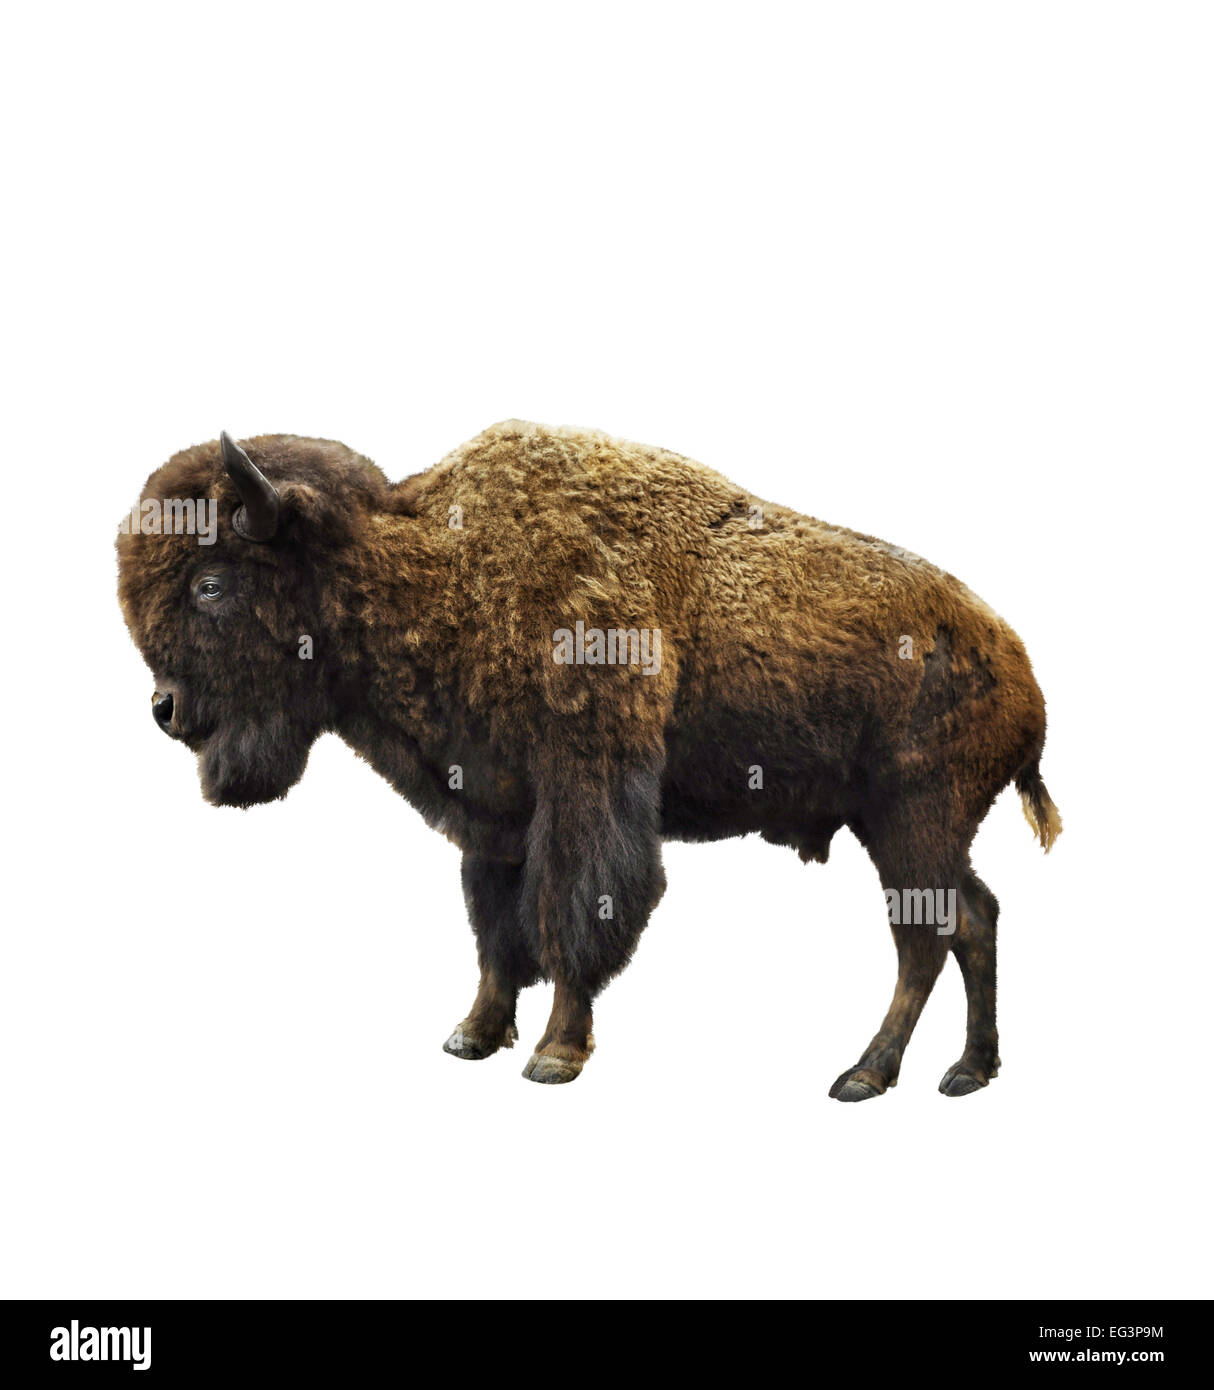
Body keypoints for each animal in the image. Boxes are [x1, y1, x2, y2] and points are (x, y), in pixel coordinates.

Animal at [117, 421, 1059, 1095]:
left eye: (210, 584)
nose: (165, 711)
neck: (431, 570)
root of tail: (1020, 670)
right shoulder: (491, 813)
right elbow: (496, 934)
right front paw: (471, 1037)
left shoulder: (584, 790)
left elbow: (571, 911)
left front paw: (554, 1055)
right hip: (916, 830)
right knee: (974, 917)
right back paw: (967, 1072)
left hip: (911, 823)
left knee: (924, 938)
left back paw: (865, 1074)